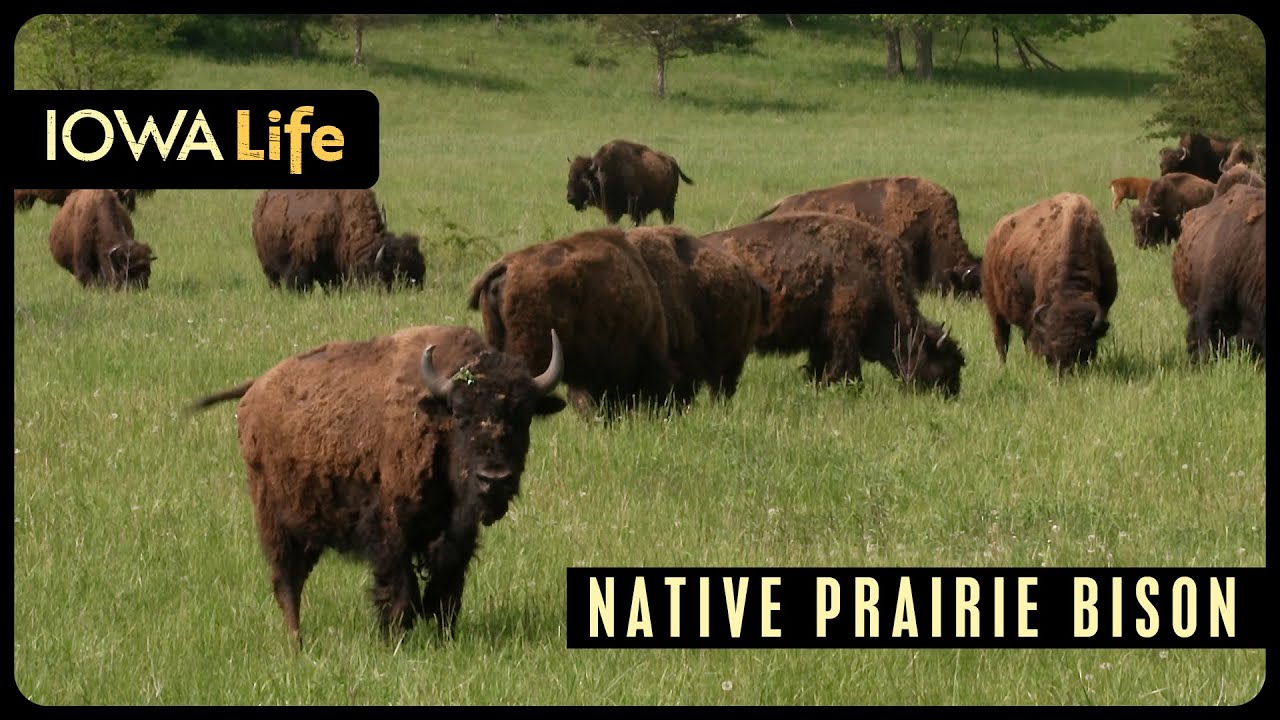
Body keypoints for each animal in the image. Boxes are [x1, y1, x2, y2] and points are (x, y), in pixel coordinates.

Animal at [188, 324, 566, 649]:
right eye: (460, 414)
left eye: (524, 415)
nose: (495, 478)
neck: (434, 414)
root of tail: (256, 388)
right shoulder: (390, 530)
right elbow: (399, 591)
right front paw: (393, 641)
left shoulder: (456, 535)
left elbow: (445, 591)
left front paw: (444, 640)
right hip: (276, 522)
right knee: (287, 583)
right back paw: (298, 646)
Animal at [251, 189, 426, 292]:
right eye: (390, 274)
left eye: (420, 269)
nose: (417, 290)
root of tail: (262, 201)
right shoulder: (300, 265)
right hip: (268, 267)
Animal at [701, 211, 966, 396]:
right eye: (945, 365)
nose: (951, 395)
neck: (877, 274)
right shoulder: (845, 332)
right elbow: (847, 369)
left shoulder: (822, 339)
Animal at [982, 192, 1118, 372]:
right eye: (1050, 350)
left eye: (1085, 350)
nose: (1064, 372)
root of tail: (994, 235)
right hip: (995, 309)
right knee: (1002, 339)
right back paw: (1003, 367)